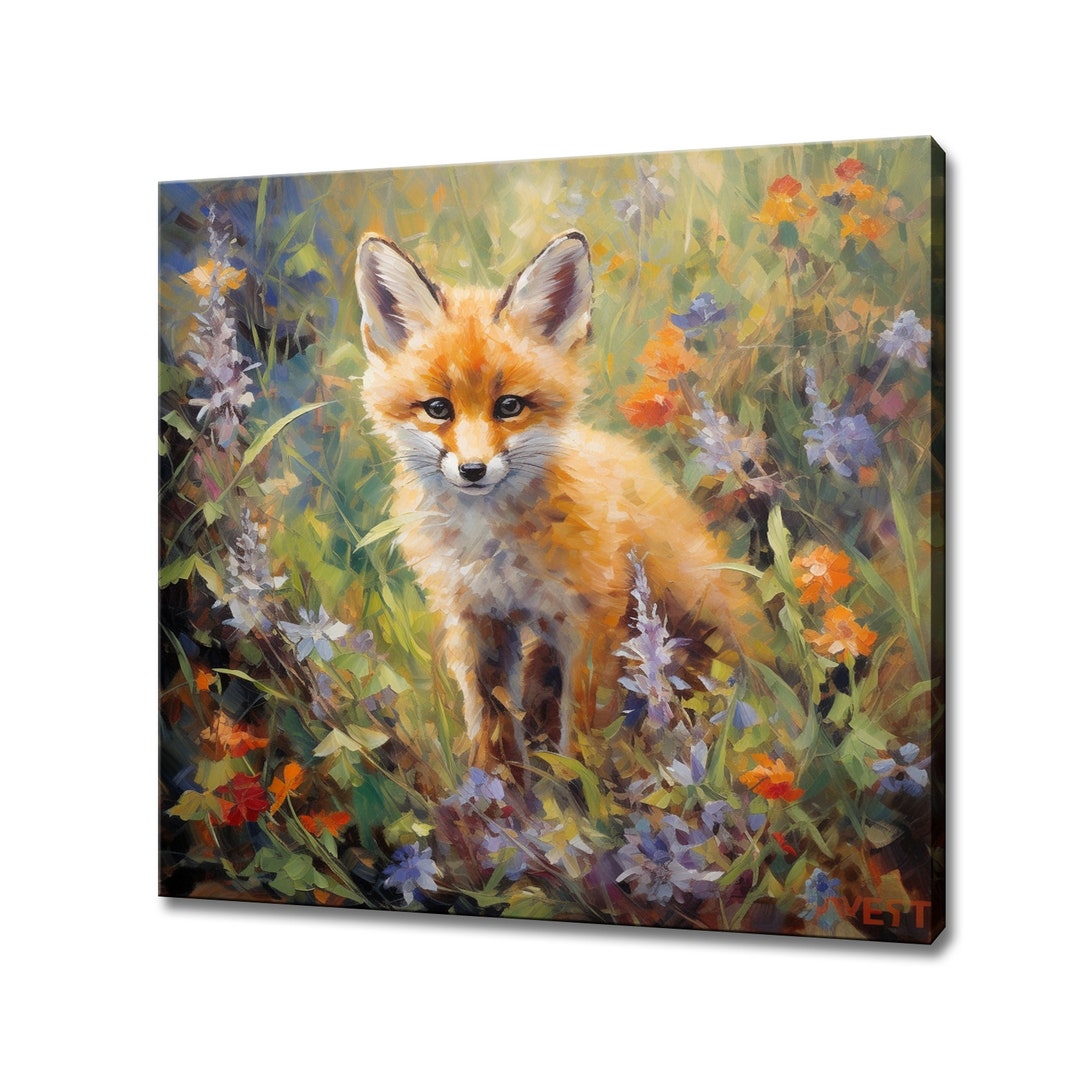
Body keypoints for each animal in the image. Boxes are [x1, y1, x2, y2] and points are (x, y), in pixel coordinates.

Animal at [355, 230, 769, 778]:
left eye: (509, 406)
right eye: (437, 408)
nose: (473, 470)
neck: (493, 547)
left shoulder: (590, 617)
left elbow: (585, 729)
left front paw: (583, 792)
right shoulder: (476, 619)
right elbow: (489, 722)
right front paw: (493, 792)